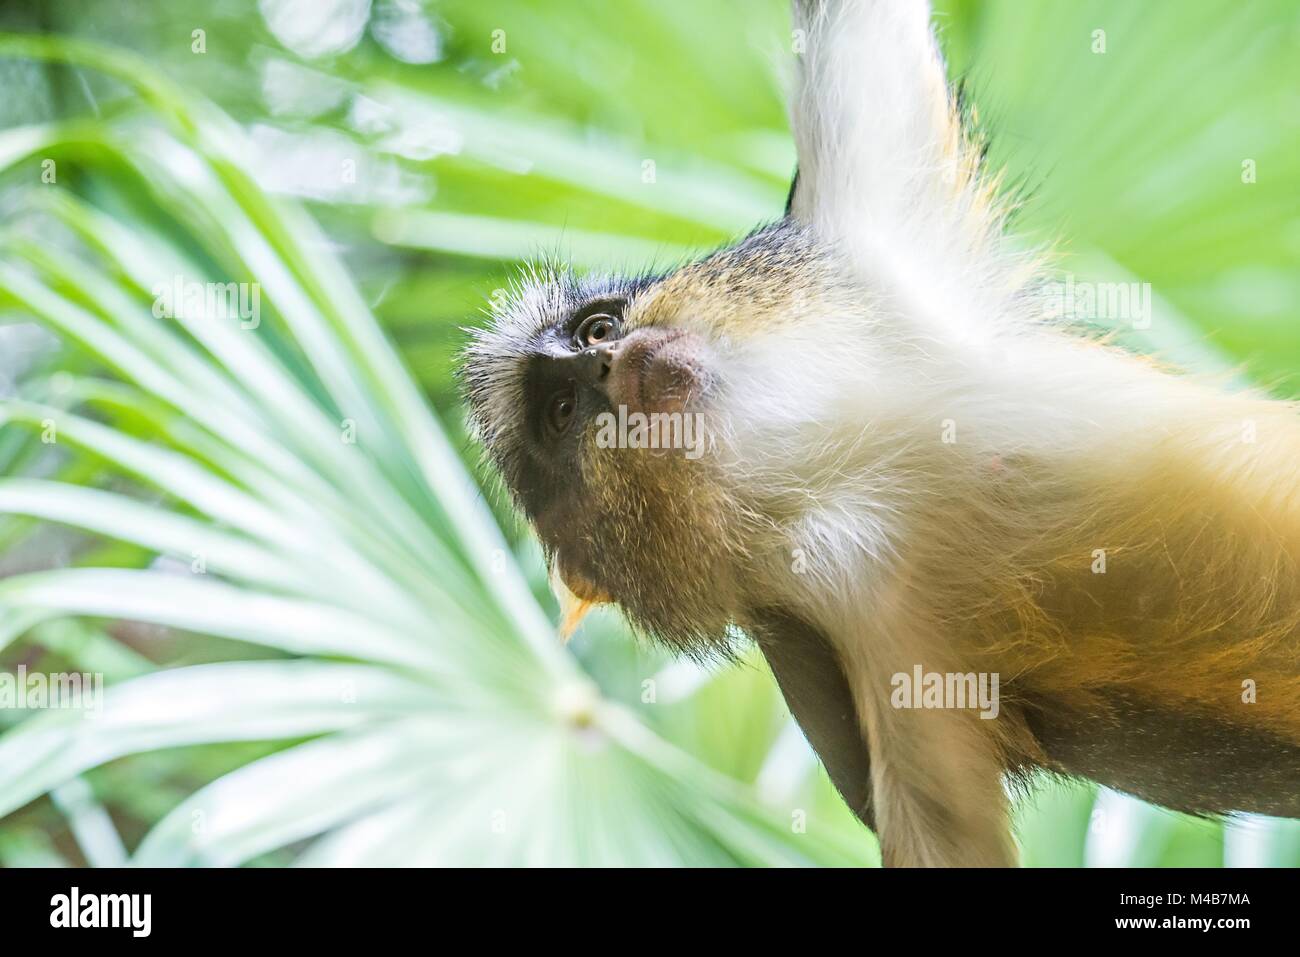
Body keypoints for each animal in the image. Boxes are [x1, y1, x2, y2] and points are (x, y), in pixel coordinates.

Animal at [460, 0, 1300, 866]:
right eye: (562, 413)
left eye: (596, 329)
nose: (609, 365)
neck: (829, 454)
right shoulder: (829, 627)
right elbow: (945, 836)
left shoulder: (868, 260)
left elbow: (858, 31)